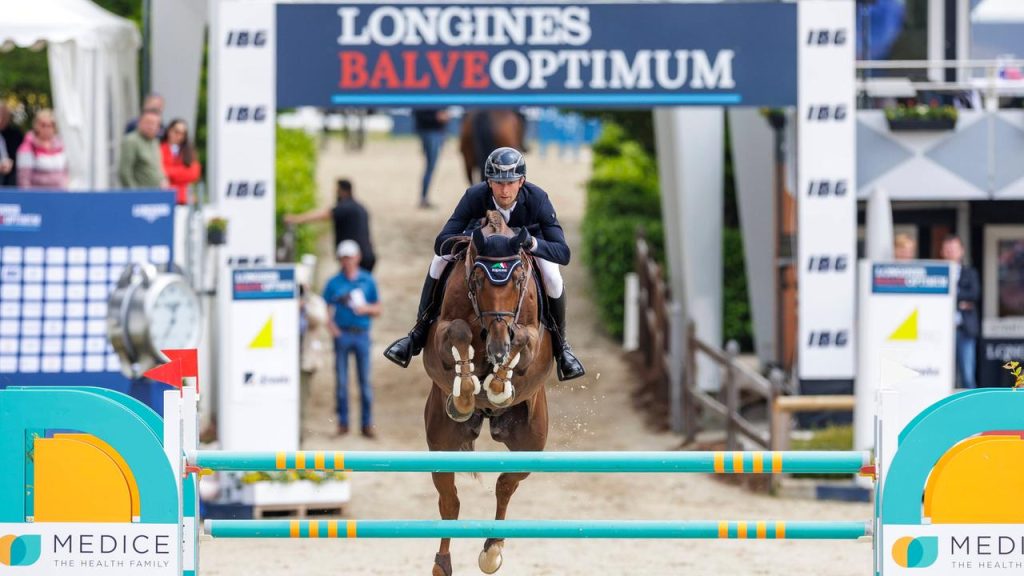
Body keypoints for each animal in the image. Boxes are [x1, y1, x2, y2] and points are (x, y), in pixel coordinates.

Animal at [421, 211, 557, 573]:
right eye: (479, 281)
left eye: (520, 280)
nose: (498, 345)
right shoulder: (441, 334)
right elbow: (458, 330)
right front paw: (466, 393)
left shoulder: (533, 338)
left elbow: (522, 338)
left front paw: (497, 385)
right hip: (441, 441)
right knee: (449, 501)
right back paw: (442, 563)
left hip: (530, 444)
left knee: (505, 484)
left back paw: (492, 550)